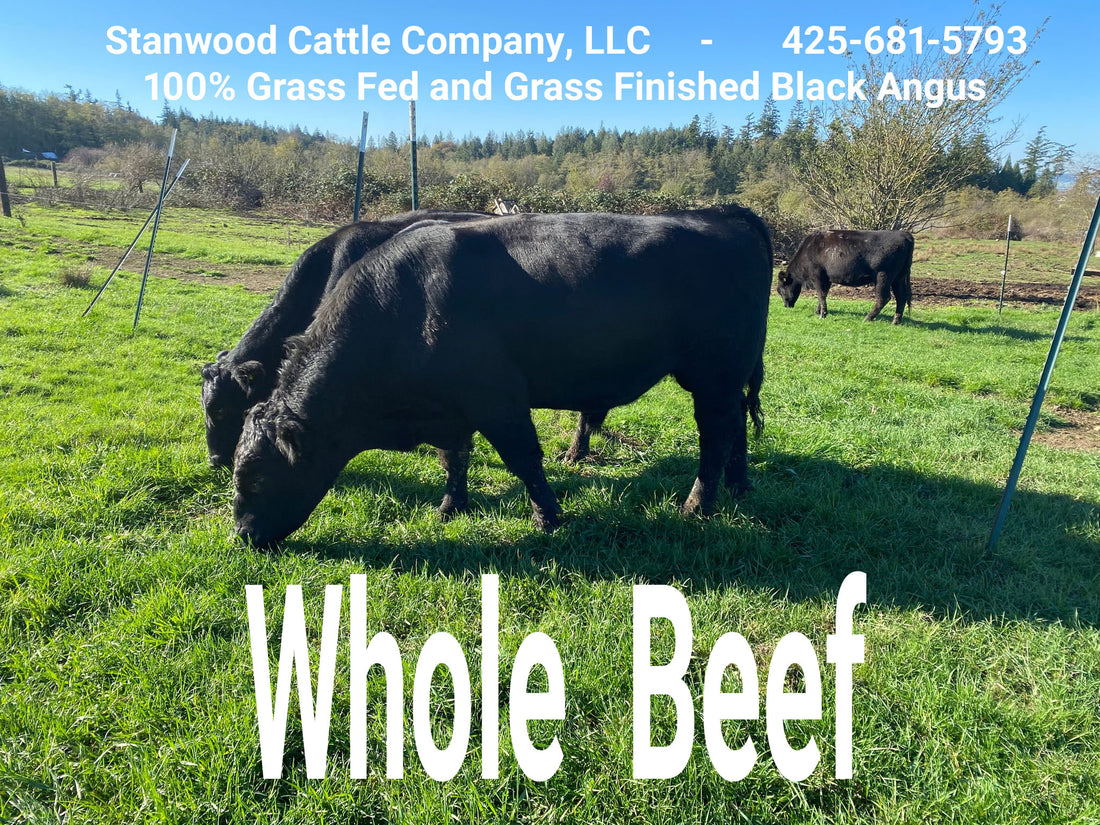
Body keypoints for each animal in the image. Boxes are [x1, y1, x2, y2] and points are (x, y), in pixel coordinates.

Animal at [231, 206, 772, 548]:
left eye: (255, 475)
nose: (241, 535)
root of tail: (721, 213)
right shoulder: (451, 406)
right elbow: (454, 457)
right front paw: (451, 506)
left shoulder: (498, 399)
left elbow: (524, 460)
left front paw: (548, 517)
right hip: (729, 377)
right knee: (736, 428)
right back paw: (739, 485)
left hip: (714, 373)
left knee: (716, 436)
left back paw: (698, 504)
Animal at [776, 229, 914, 324]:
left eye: (780, 289)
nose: (786, 305)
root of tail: (904, 234)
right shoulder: (827, 278)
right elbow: (824, 294)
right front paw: (818, 311)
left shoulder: (817, 276)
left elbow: (821, 294)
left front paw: (822, 314)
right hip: (898, 277)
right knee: (901, 298)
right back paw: (895, 321)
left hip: (883, 275)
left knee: (883, 298)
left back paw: (867, 318)